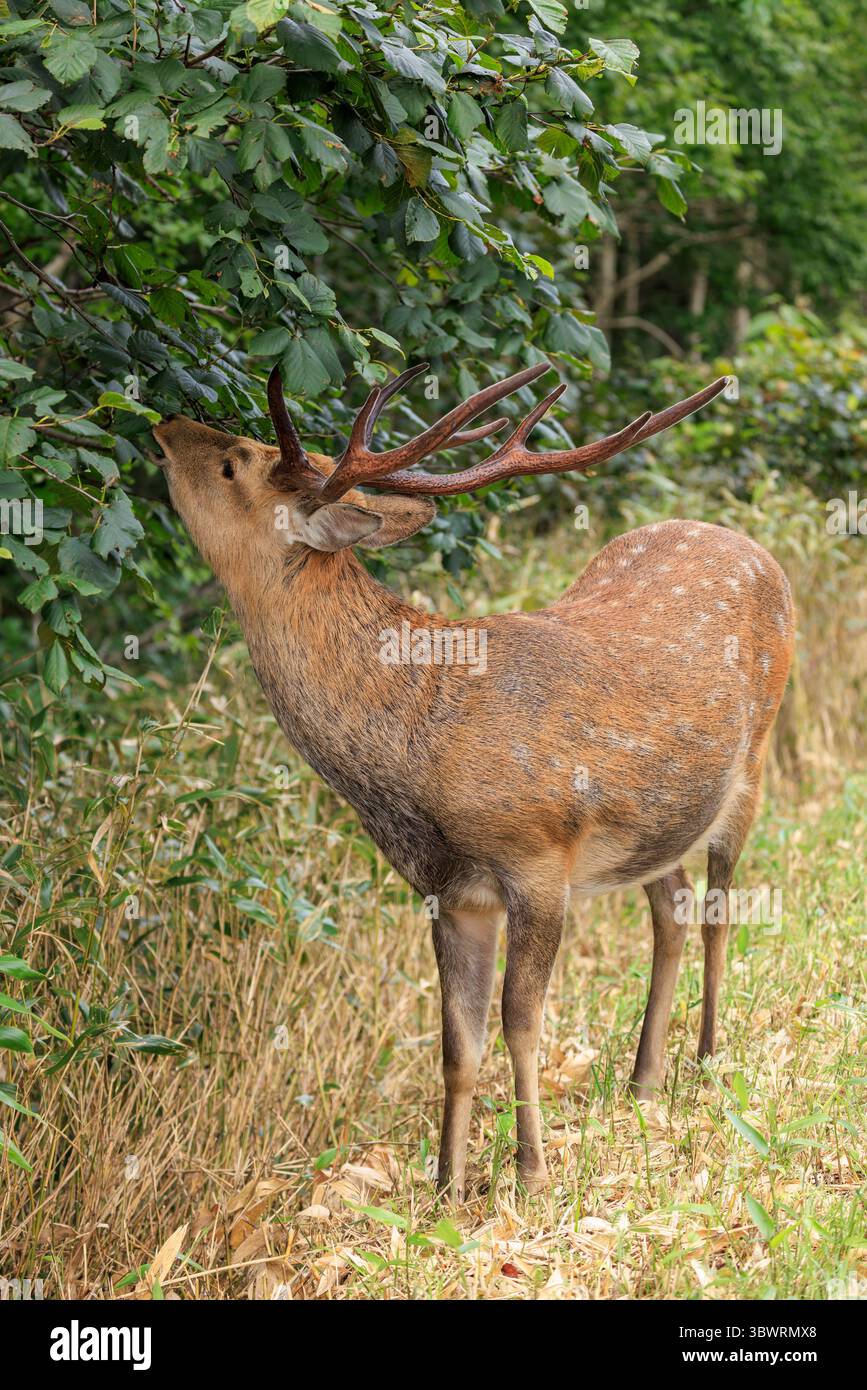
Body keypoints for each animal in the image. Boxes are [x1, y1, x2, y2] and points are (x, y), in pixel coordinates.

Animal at [153, 361, 795, 1201]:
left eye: (234, 462)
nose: (165, 423)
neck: (418, 747)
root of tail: (747, 543)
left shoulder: (538, 859)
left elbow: (521, 1019)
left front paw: (531, 1170)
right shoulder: (449, 890)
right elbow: (458, 1041)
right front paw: (446, 1186)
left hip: (752, 759)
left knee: (719, 906)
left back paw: (708, 1058)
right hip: (655, 817)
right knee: (674, 905)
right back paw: (644, 1078)